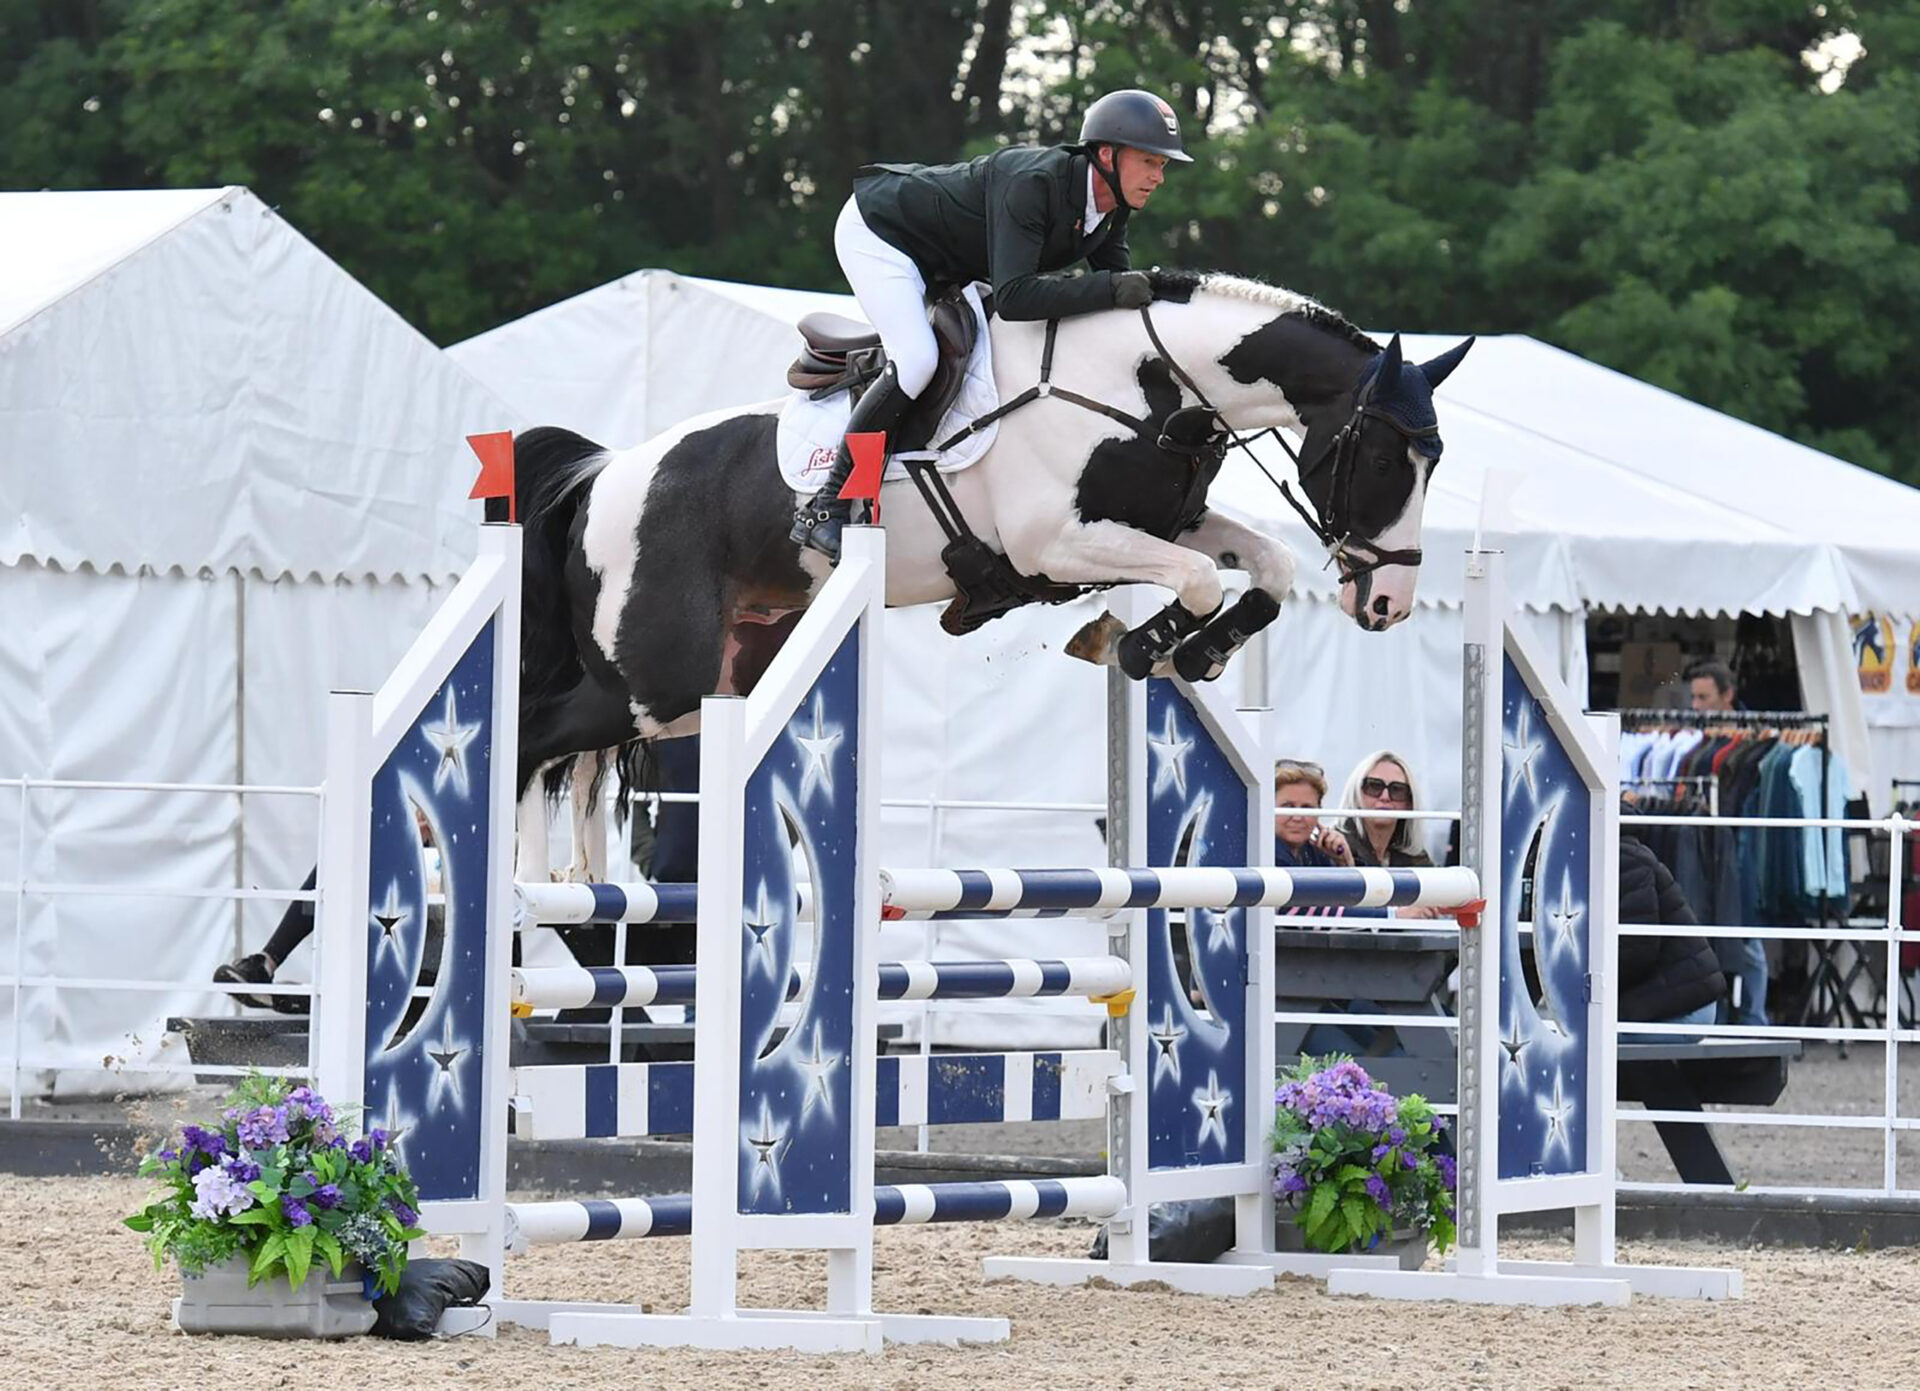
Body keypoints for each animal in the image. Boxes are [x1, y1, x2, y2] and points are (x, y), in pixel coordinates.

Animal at [510, 271, 1474, 806]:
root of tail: (604, 473)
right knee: (528, 731)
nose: (1387, 603)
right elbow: (1199, 578)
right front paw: (1146, 646)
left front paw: (1198, 652)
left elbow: (1261, 564)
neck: (1150, 381)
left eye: (1435, 462)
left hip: (724, 679)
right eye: (1381, 458)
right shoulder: (1057, 544)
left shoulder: (1165, 520)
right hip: (653, 681)